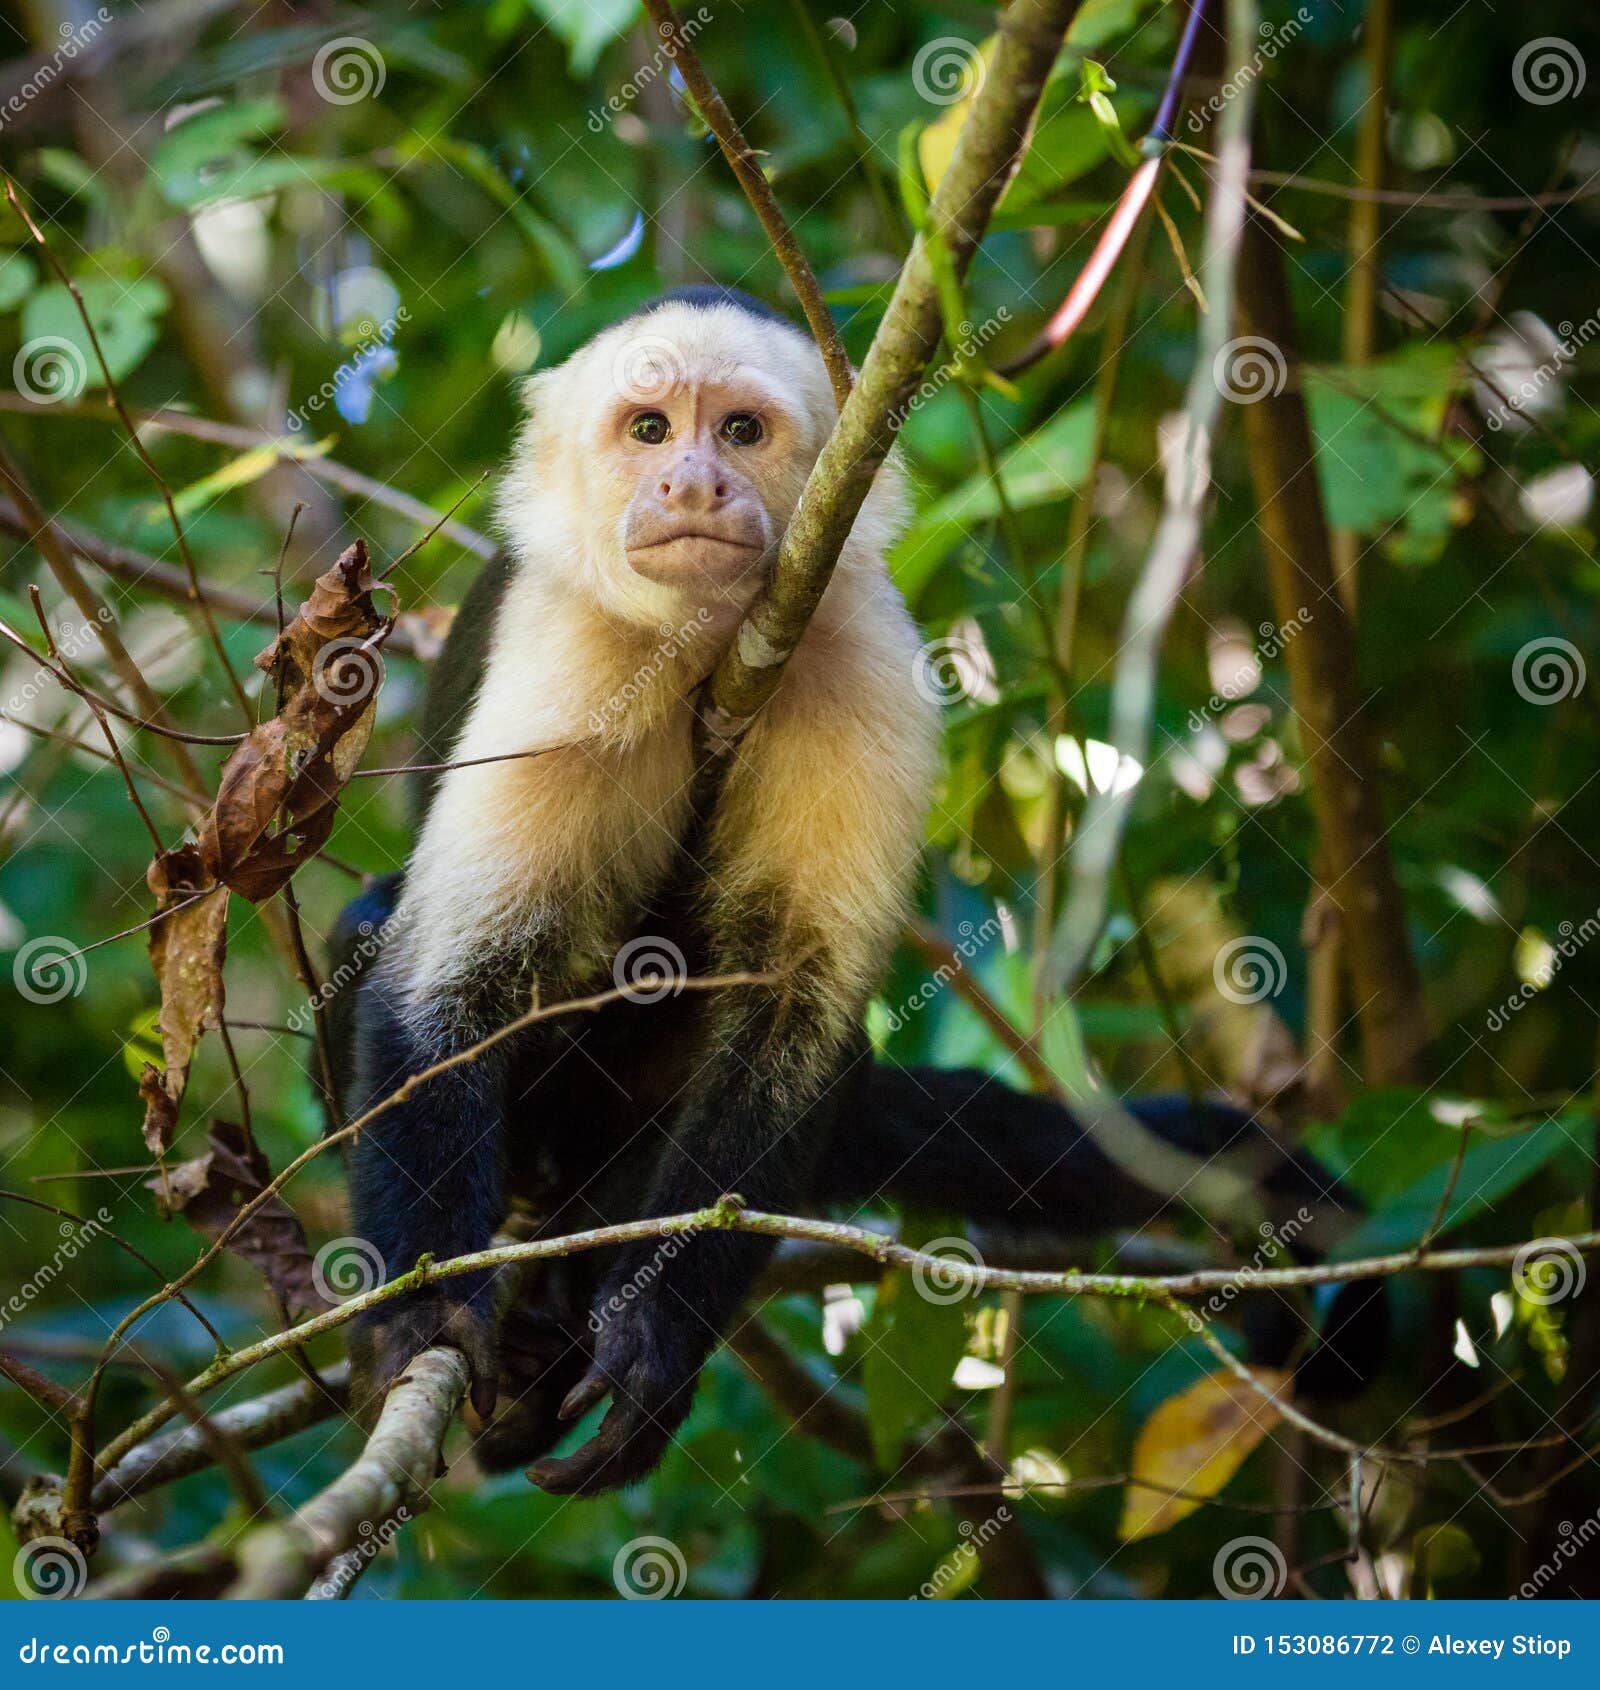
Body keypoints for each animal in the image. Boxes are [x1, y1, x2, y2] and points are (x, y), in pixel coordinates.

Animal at [329, 286, 1380, 1497]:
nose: (691, 484)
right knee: (370, 927)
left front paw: (651, 1348)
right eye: (648, 429)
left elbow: (792, 1013)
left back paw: (556, 1323)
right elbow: (443, 989)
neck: (713, 658)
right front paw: (424, 1313)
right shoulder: (572, 655)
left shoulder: (859, 653)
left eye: (740, 430)